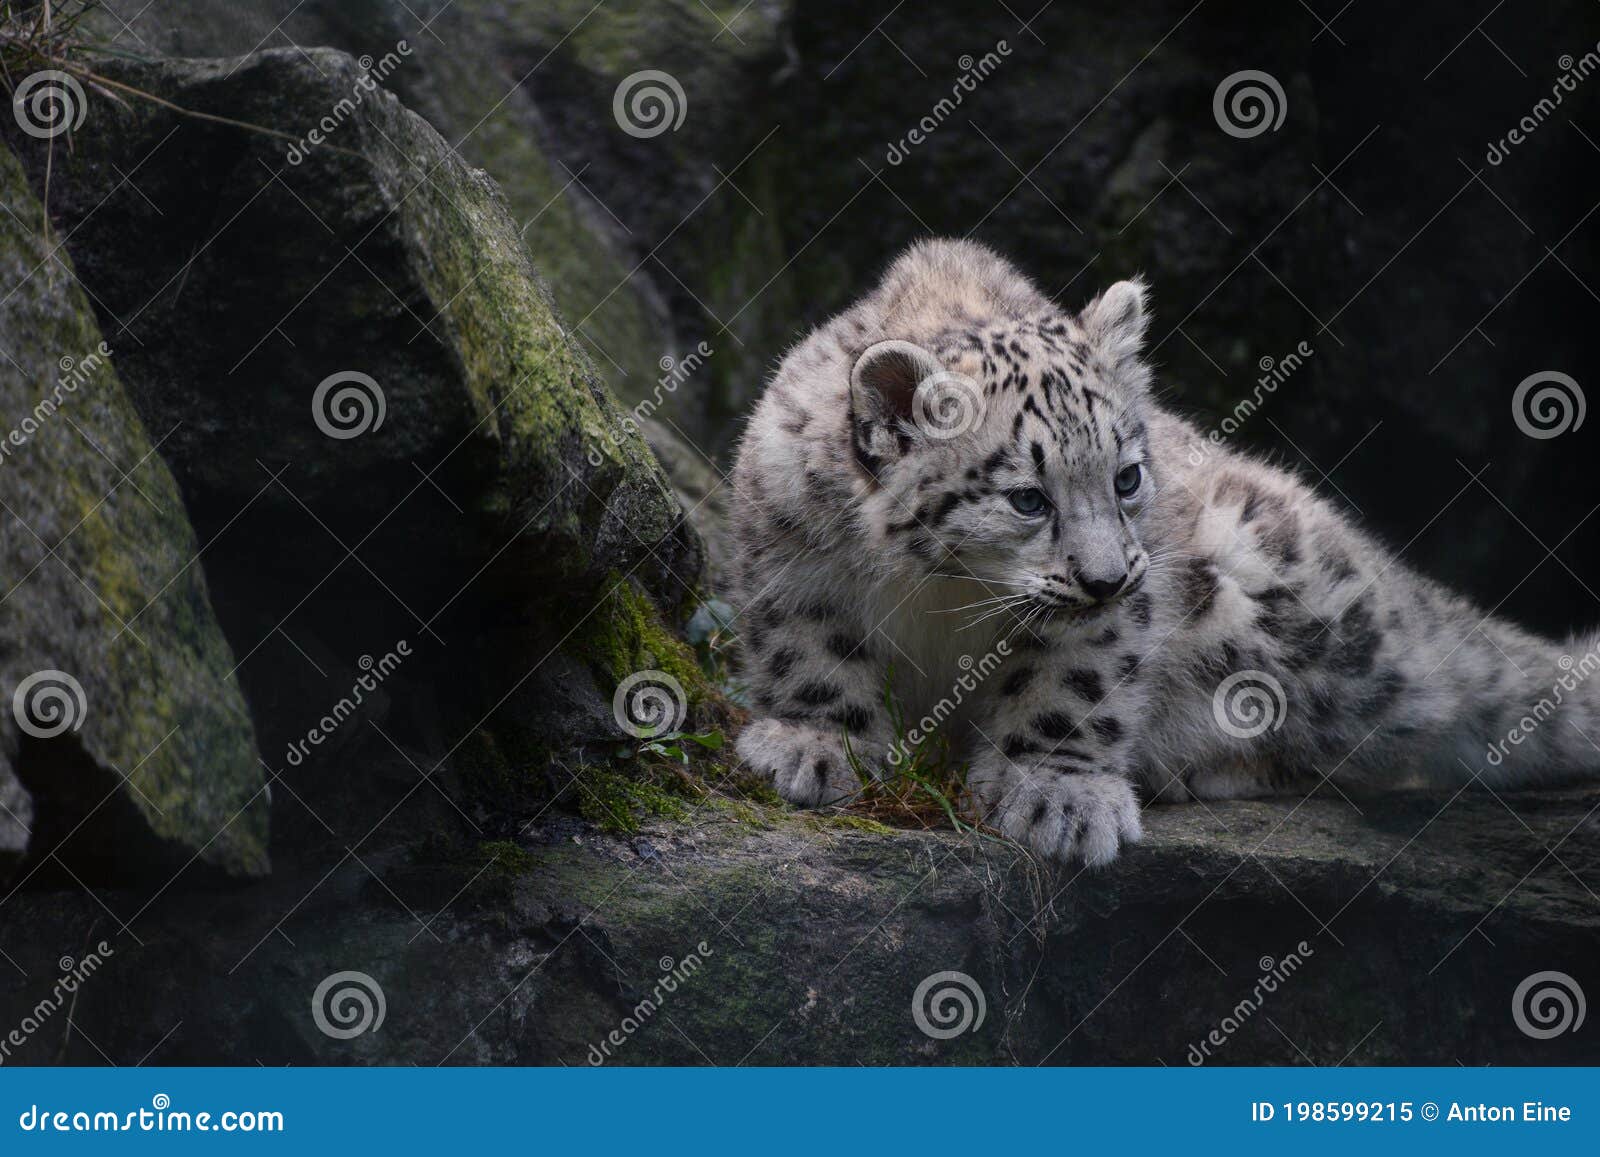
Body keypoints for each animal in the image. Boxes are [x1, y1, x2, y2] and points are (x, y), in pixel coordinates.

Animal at [727, 237, 1600, 866]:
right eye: (1027, 497)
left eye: (1126, 475)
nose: (1105, 575)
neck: (946, 589)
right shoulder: (790, 549)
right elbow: (809, 651)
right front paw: (815, 747)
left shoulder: (1117, 606)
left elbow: (1072, 683)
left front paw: (1059, 798)